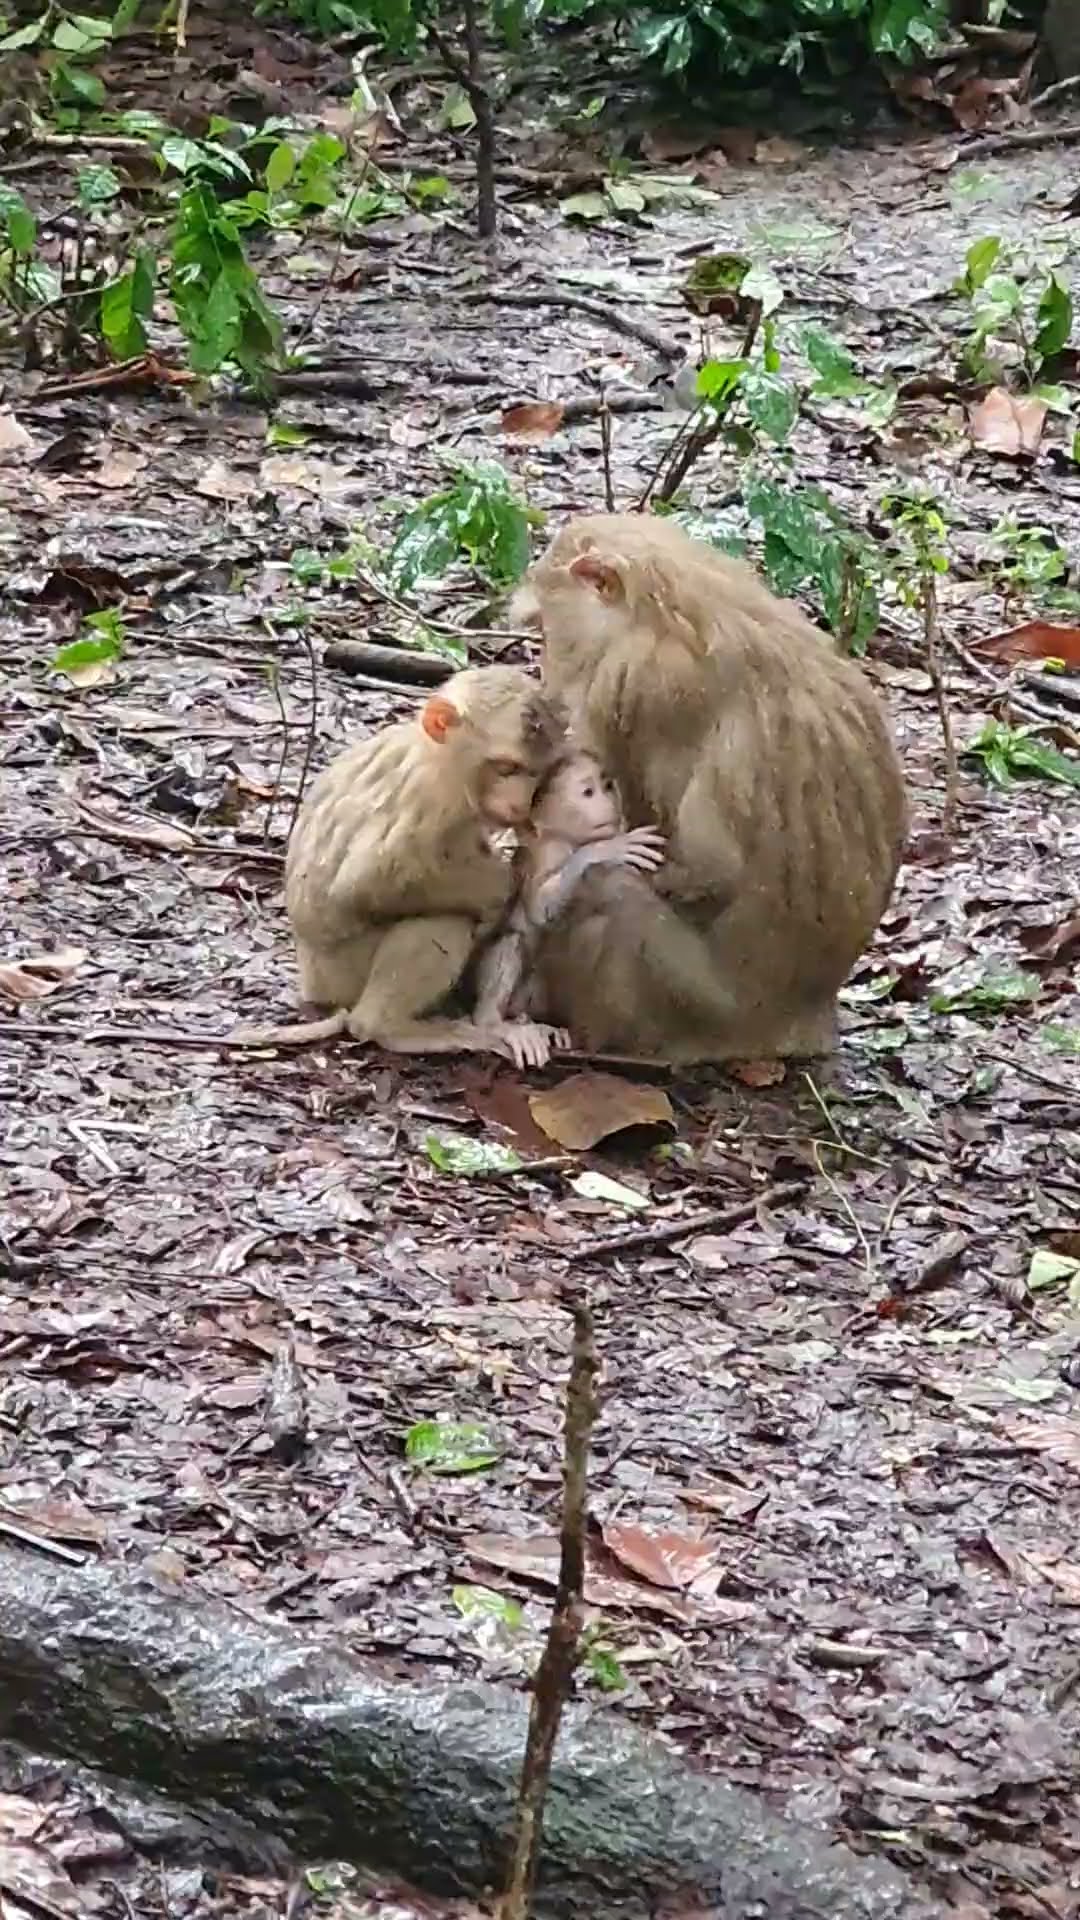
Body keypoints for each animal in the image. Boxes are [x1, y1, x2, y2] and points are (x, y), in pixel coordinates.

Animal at [230, 666, 572, 1068]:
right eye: (507, 767)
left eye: (536, 773)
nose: (520, 804)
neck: (436, 755)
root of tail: (313, 984)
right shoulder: (432, 797)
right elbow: (367, 881)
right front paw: (501, 886)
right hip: (344, 972)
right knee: (446, 920)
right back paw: (388, 1027)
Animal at [472, 750, 666, 1034]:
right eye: (588, 792)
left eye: (607, 786)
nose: (606, 801)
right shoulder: (549, 850)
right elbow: (540, 909)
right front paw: (604, 849)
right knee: (513, 939)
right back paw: (491, 1020)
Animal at [507, 511, 908, 1064]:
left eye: (548, 629)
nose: (547, 675)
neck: (674, 607)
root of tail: (799, 1023)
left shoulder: (632, 683)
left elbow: (700, 862)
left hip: (697, 1007)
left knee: (613, 892)